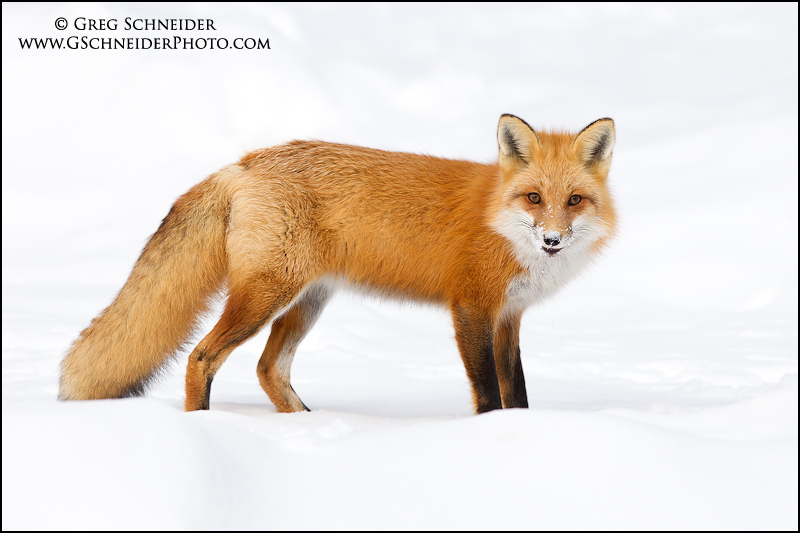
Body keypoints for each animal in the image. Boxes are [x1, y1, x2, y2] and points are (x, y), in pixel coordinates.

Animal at [58, 114, 616, 414]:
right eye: (533, 197)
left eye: (573, 201)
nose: (551, 241)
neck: (500, 223)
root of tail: (244, 163)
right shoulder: (472, 309)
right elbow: (489, 394)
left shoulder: (509, 316)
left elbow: (516, 391)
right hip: (267, 294)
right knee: (202, 356)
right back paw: (203, 427)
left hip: (308, 300)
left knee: (268, 369)